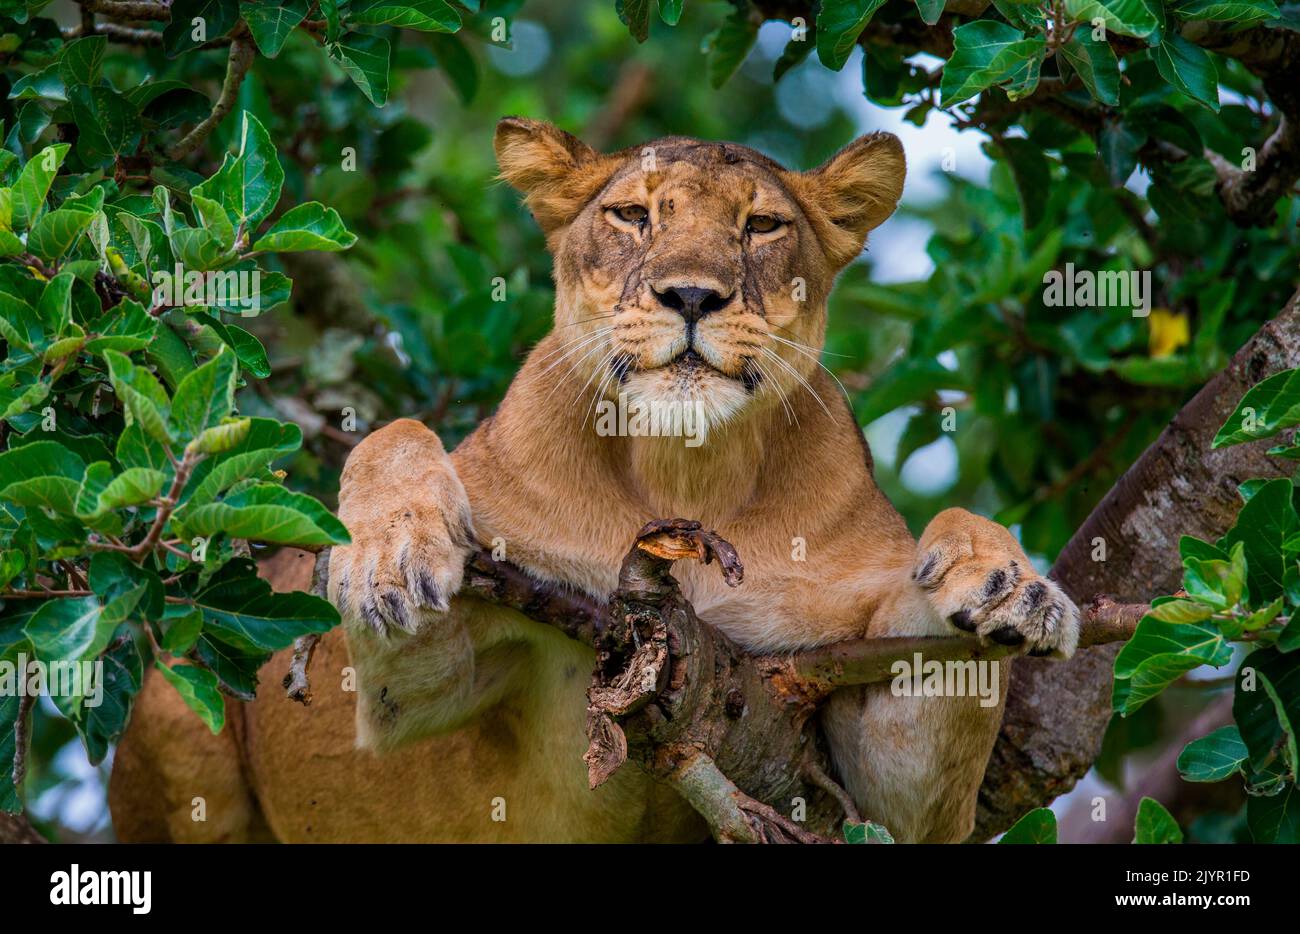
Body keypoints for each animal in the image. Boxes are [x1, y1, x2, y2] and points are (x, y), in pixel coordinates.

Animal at [109, 118, 1079, 843]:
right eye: (632, 216)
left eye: (762, 227)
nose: (692, 296)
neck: (686, 473)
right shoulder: (411, 692)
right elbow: (396, 437)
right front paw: (389, 554)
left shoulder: (868, 780)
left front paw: (1012, 589)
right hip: (171, 708)